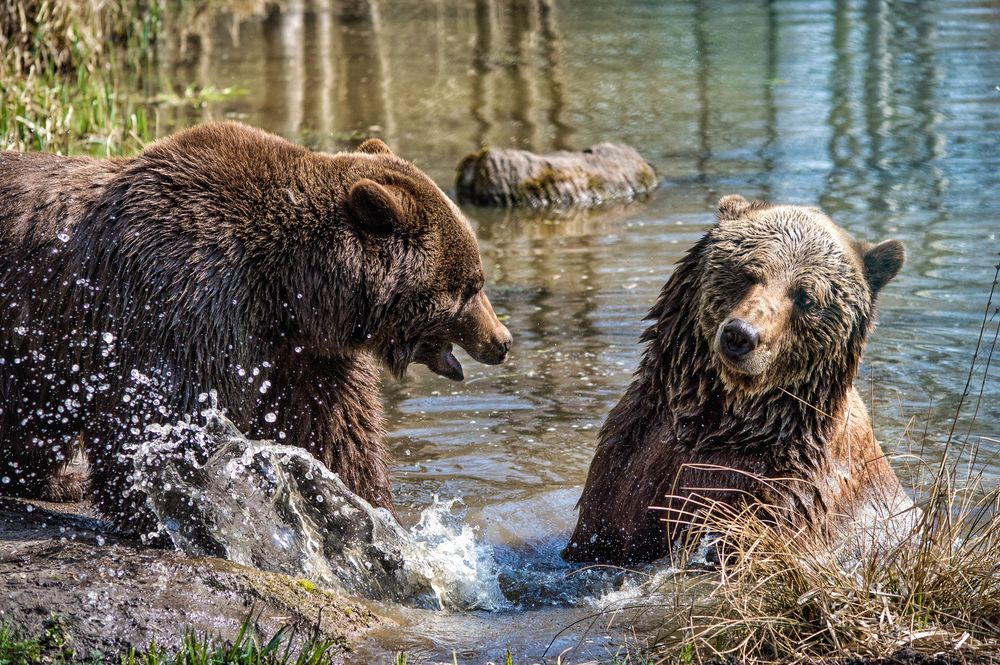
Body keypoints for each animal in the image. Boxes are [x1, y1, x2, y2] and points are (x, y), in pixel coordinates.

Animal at [0, 122, 511, 535]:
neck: (288, 289)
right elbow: (163, 417)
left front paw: (369, 506)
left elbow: (337, 432)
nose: (502, 341)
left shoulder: (304, 353)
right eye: (472, 286)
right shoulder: (187, 300)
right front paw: (179, 513)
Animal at [563, 195, 913, 564]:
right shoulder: (630, 463)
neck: (724, 423)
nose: (741, 334)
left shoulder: (784, 495)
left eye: (805, 297)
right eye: (748, 272)